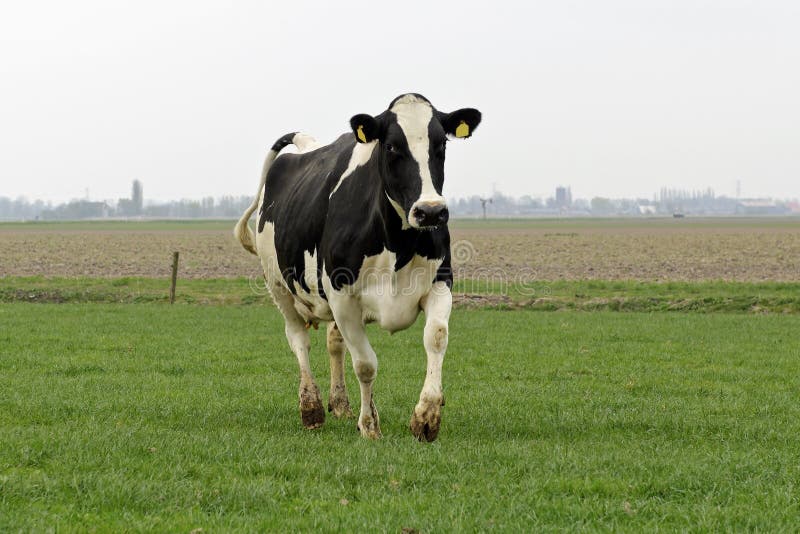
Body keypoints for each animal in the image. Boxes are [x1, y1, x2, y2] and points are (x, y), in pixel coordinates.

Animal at [234, 93, 481, 441]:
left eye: (441, 143)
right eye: (391, 146)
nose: (431, 212)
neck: (397, 244)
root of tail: (306, 145)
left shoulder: (440, 283)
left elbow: (436, 337)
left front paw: (426, 417)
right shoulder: (342, 298)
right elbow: (365, 364)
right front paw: (369, 425)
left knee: (334, 342)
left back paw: (340, 404)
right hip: (278, 286)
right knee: (298, 338)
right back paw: (312, 407)